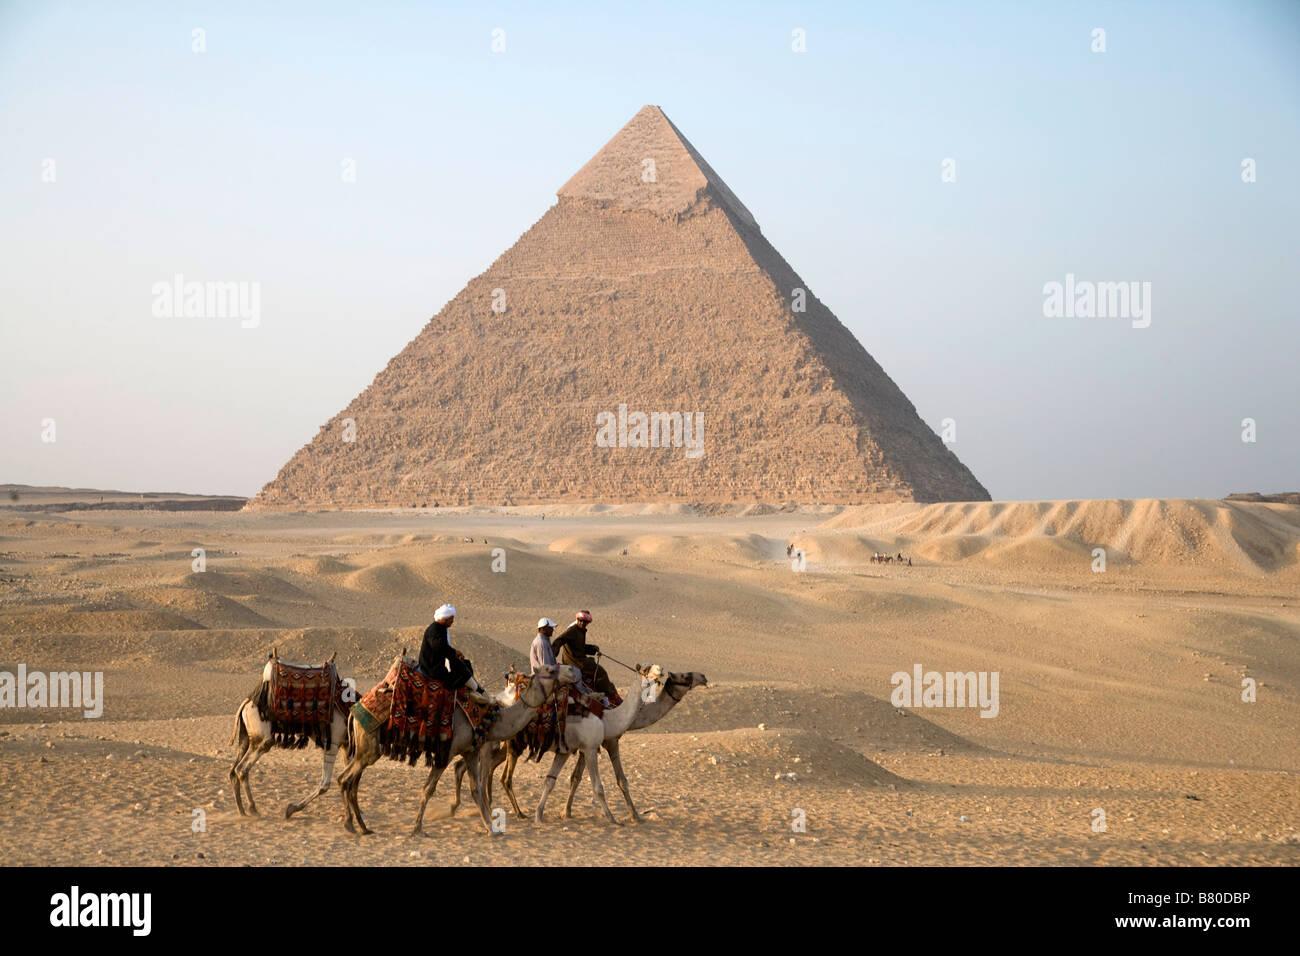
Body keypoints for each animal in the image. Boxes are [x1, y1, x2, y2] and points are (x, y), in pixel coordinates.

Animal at [228, 650, 352, 819]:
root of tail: (246, 703)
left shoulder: (346, 746)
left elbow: (348, 781)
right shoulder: (333, 743)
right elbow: (326, 784)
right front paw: (291, 809)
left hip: (245, 736)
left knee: (234, 771)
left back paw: (242, 810)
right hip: (262, 738)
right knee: (241, 769)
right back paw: (252, 808)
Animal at [335, 657, 580, 836]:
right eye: (549, 668)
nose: (573, 671)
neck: (490, 718)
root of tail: (356, 709)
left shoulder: (471, 750)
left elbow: (476, 789)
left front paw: (489, 828)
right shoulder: (448, 751)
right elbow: (428, 789)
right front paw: (417, 829)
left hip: (367, 750)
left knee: (350, 782)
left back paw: (363, 827)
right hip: (368, 748)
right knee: (345, 780)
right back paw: (350, 825)